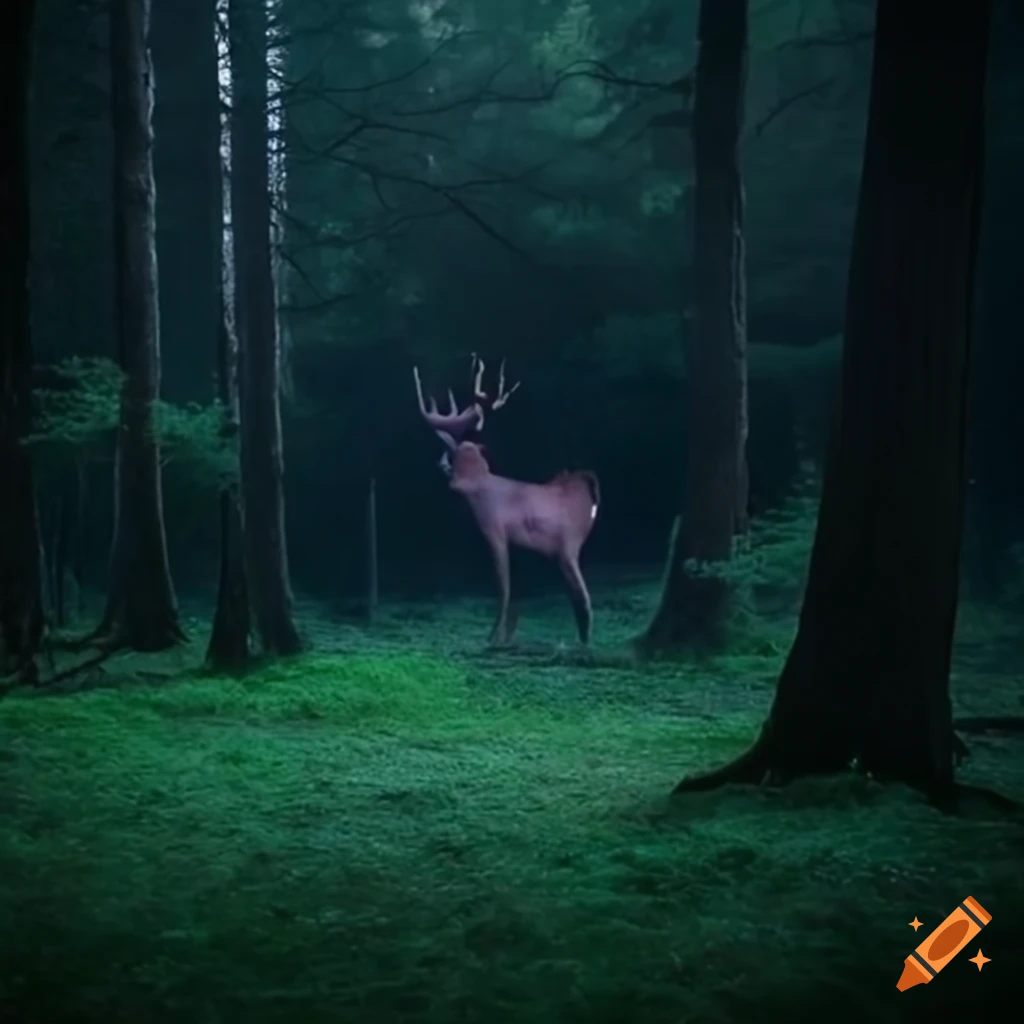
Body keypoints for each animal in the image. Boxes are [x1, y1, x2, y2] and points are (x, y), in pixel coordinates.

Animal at [412, 357, 599, 645]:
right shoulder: (519, 548)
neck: (479, 485)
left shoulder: (494, 529)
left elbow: (503, 588)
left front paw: (492, 637)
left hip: (567, 547)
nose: (442, 464)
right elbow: (514, 600)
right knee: (579, 600)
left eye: (453, 454)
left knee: (583, 600)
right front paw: (504, 637)